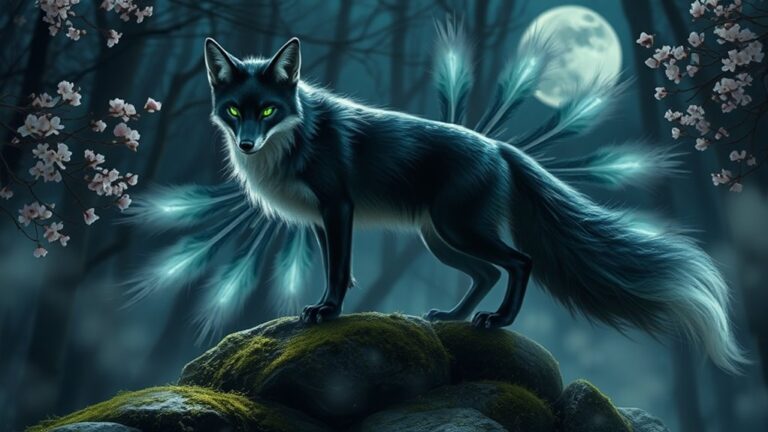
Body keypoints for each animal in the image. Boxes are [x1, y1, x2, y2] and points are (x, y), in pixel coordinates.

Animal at [198, 35, 746, 372]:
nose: (247, 144)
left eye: (269, 110)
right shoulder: (319, 220)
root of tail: (500, 147)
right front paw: (329, 304)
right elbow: (339, 266)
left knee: (519, 262)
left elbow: (338, 269)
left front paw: (328, 312)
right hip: (440, 239)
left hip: (456, 231)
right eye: (235, 111)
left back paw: (498, 322)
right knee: (485, 273)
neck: (296, 140)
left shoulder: (337, 208)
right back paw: (454, 318)